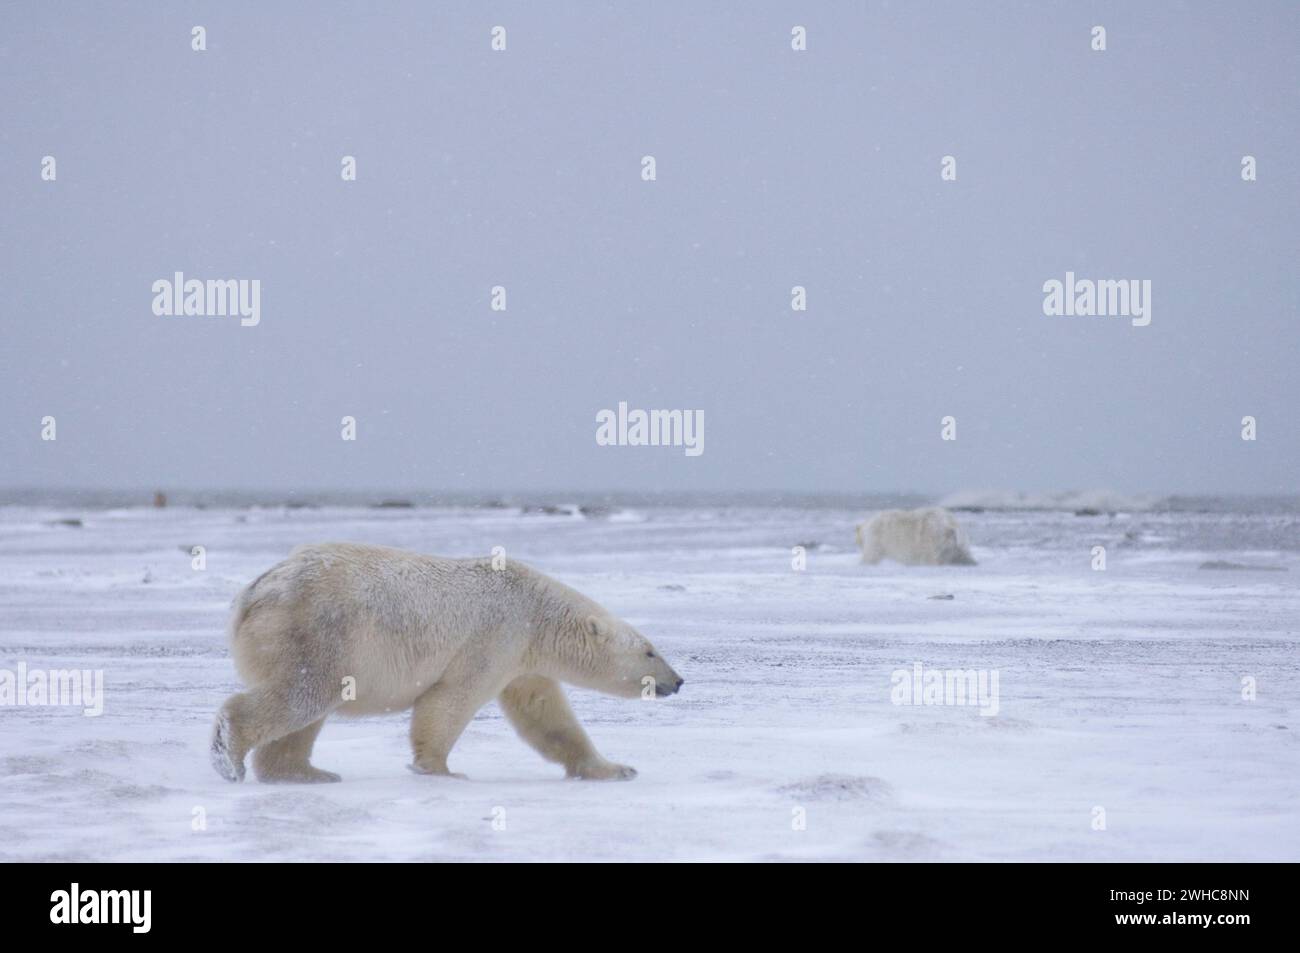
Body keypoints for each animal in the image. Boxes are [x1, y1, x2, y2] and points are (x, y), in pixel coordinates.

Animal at [209, 543, 683, 784]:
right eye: (650, 651)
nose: (678, 681)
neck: (536, 611)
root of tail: (252, 593)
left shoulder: (523, 661)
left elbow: (547, 716)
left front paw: (615, 768)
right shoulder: (495, 635)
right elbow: (451, 700)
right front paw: (440, 769)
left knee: (303, 712)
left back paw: (305, 772)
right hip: (319, 629)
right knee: (303, 694)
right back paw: (229, 757)